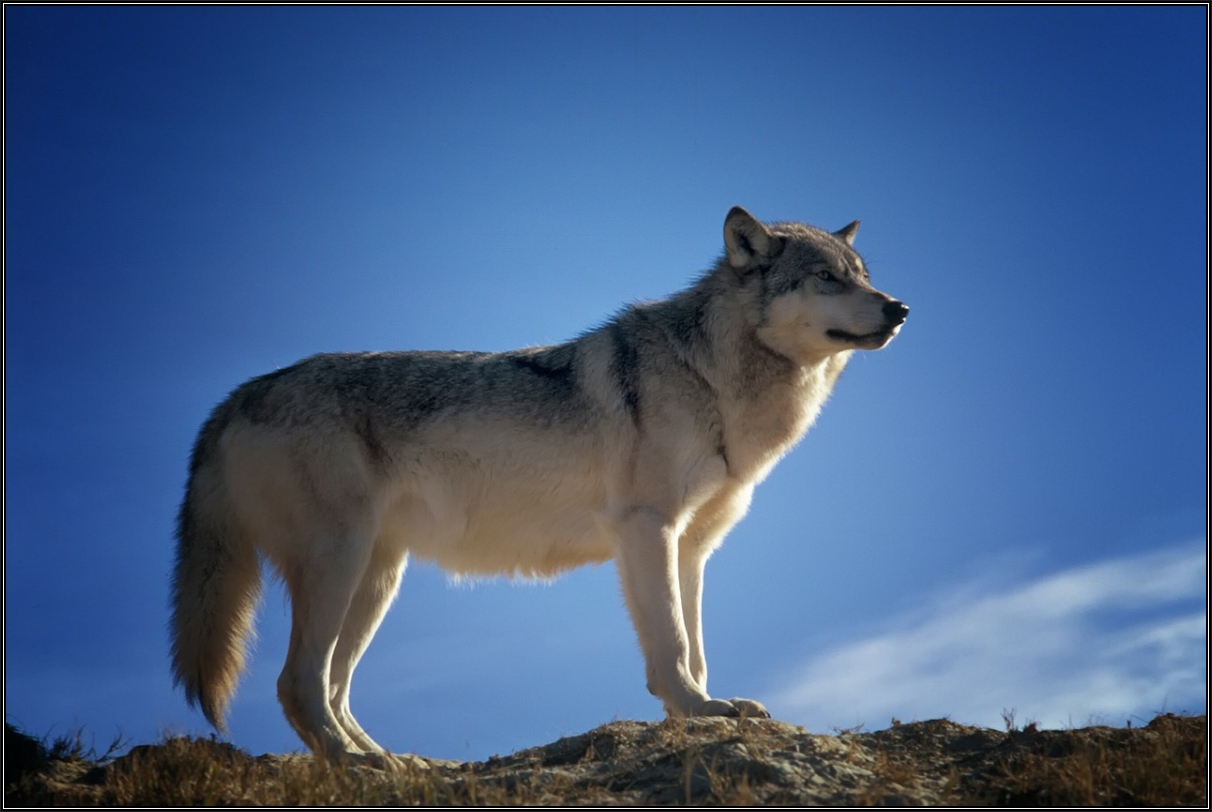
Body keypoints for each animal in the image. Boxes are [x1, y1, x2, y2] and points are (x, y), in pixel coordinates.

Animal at [170, 206, 908, 762]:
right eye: (826, 279)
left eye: (863, 277)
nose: (899, 308)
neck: (711, 378)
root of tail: (236, 396)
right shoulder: (647, 530)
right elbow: (671, 645)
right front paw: (697, 711)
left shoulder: (692, 548)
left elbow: (695, 647)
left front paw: (703, 710)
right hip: (339, 564)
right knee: (298, 684)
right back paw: (356, 765)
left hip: (377, 580)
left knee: (332, 687)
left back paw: (393, 762)